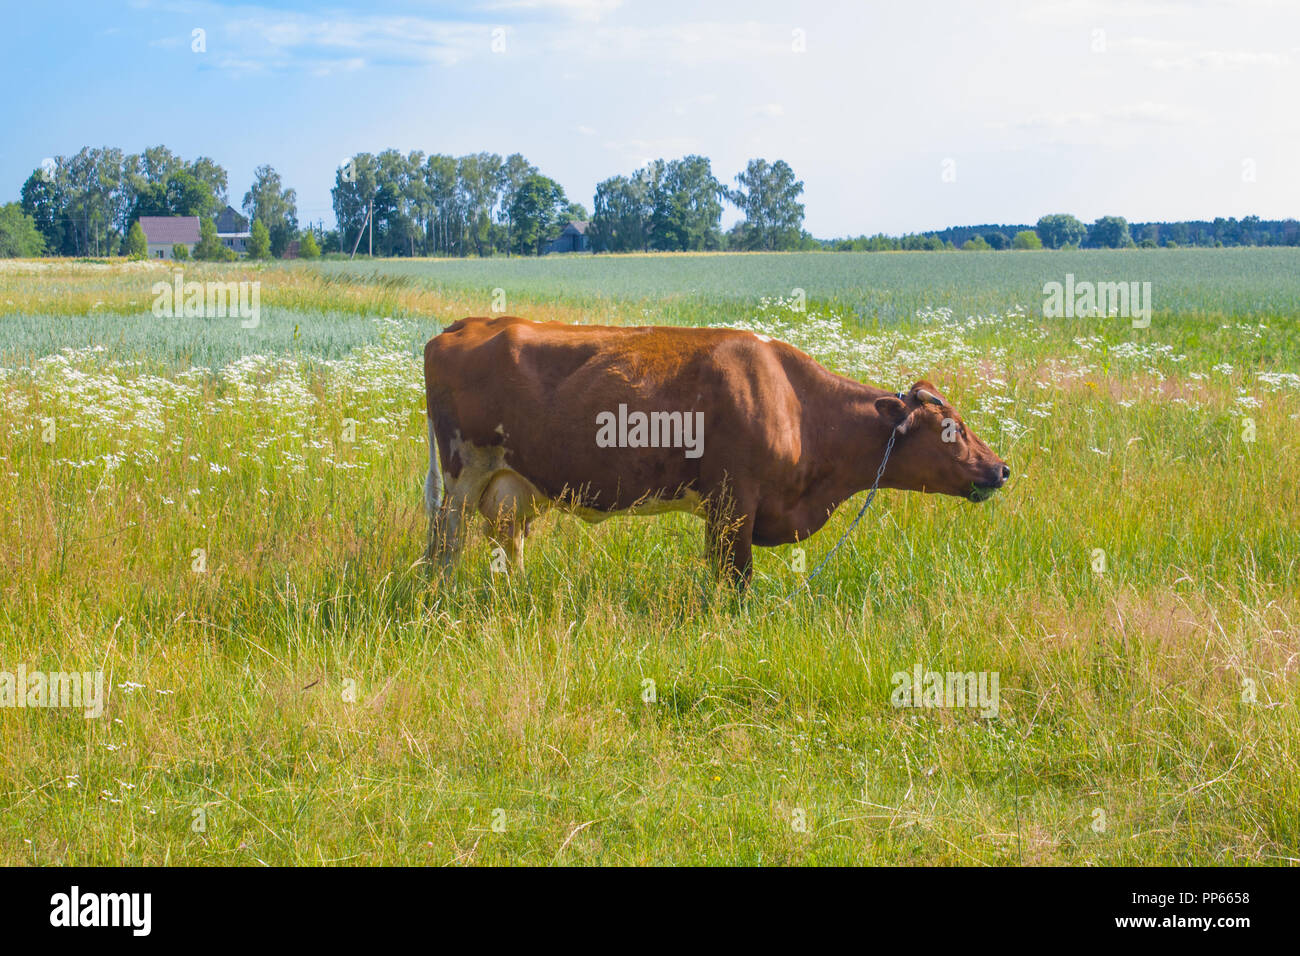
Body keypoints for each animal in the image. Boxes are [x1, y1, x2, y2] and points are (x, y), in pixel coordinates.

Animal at [422, 315, 1009, 588]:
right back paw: (447, 599)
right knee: (446, 545)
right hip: (460, 477)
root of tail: (467, 324)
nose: (1002, 469)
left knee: (507, 541)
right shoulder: (733, 502)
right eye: (952, 428)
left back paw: (514, 593)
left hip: (510, 488)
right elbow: (736, 576)